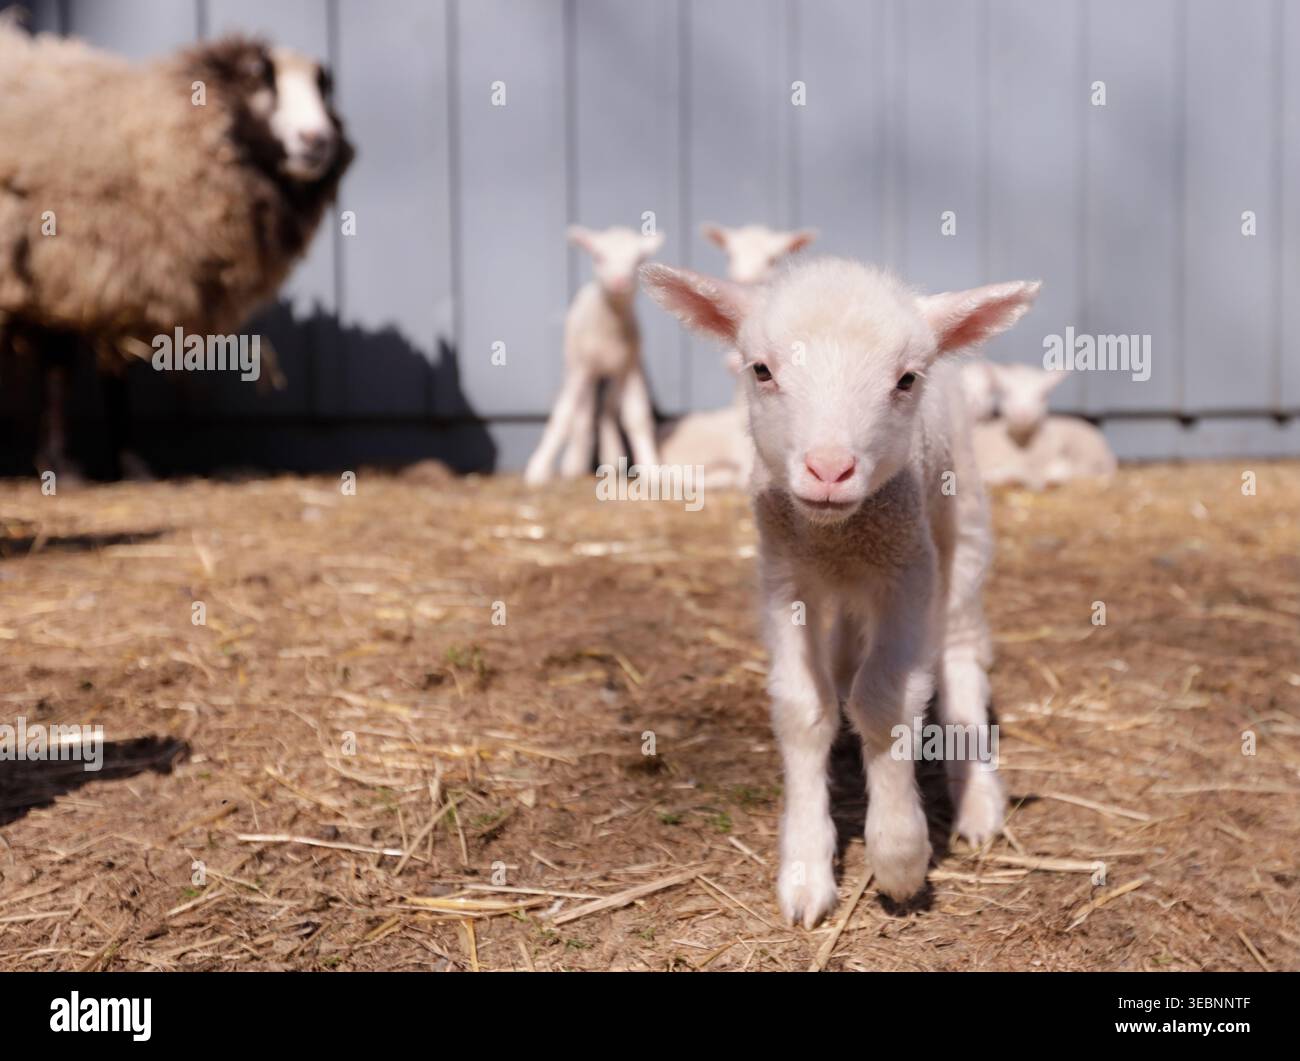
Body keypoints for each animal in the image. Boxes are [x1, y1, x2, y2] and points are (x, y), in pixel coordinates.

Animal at [0, 17, 353, 479]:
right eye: (259, 80)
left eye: (322, 88)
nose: (317, 141)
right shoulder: (62, 267)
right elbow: (60, 366)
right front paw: (61, 464)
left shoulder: (118, 278)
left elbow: (116, 371)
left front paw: (131, 465)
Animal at [523, 226, 664, 486]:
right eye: (599, 256)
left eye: (638, 260)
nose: (619, 281)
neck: (610, 329)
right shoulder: (582, 366)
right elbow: (564, 414)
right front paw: (538, 470)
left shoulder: (630, 365)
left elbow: (637, 416)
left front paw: (652, 471)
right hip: (575, 362)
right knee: (584, 411)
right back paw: (574, 464)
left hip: (615, 372)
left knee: (607, 408)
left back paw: (610, 459)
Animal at [642, 256, 1040, 927]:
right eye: (761, 369)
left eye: (906, 379)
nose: (829, 470)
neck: (838, 533)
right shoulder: (784, 575)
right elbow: (804, 708)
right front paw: (805, 873)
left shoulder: (908, 570)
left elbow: (884, 701)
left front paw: (900, 854)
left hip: (961, 528)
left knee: (961, 655)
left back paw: (978, 800)